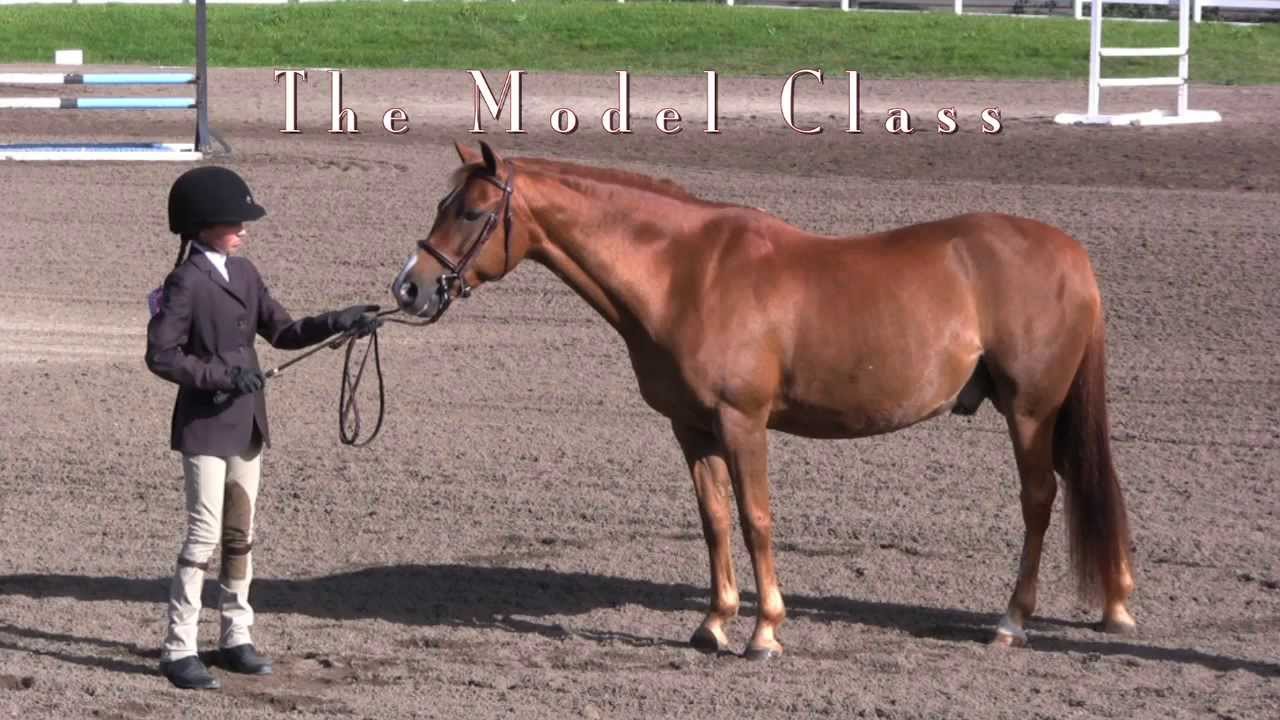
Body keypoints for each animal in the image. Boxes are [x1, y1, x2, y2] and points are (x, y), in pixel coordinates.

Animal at [390, 140, 1135, 660]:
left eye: (474, 212)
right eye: (440, 206)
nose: (410, 287)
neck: (686, 272)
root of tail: (1070, 253)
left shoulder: (742, 422)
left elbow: (755, 520)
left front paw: (765, 631)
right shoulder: (692, 429)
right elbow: (715, 520)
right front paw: (714, 623)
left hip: (1030, 411)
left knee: (1039, 500)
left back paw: (1011, 621)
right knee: (1086, 483)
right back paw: (1116, 603)